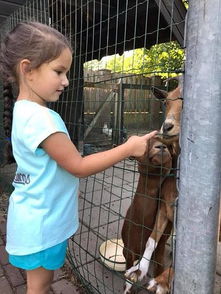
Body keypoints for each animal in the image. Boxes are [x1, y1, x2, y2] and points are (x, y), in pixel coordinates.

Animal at [121, 138, 173, 294]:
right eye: (146, 142)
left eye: (168, 144)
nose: (161, 147)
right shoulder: (129, 249)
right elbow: (129, 269)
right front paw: (128, 287)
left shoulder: (160, 246)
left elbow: (159, 268)